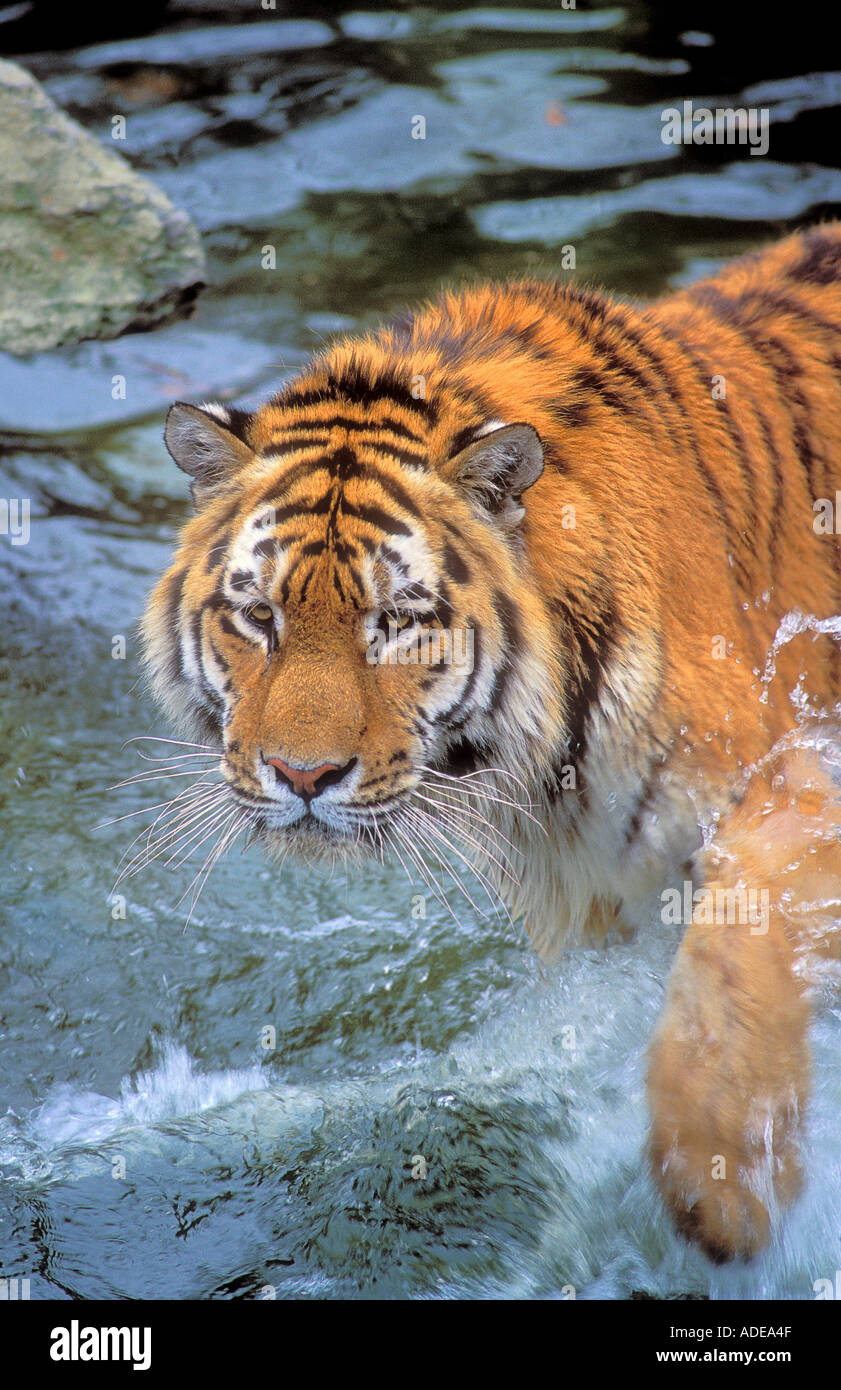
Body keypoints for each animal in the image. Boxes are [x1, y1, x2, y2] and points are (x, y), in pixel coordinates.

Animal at [141, 222, 841, 1265]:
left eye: (395, 622)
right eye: (259, 616)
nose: (303, 774)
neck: (551, 767)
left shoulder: (793, 768)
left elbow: (738, 933)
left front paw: (720, 1178)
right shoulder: (602, 916)